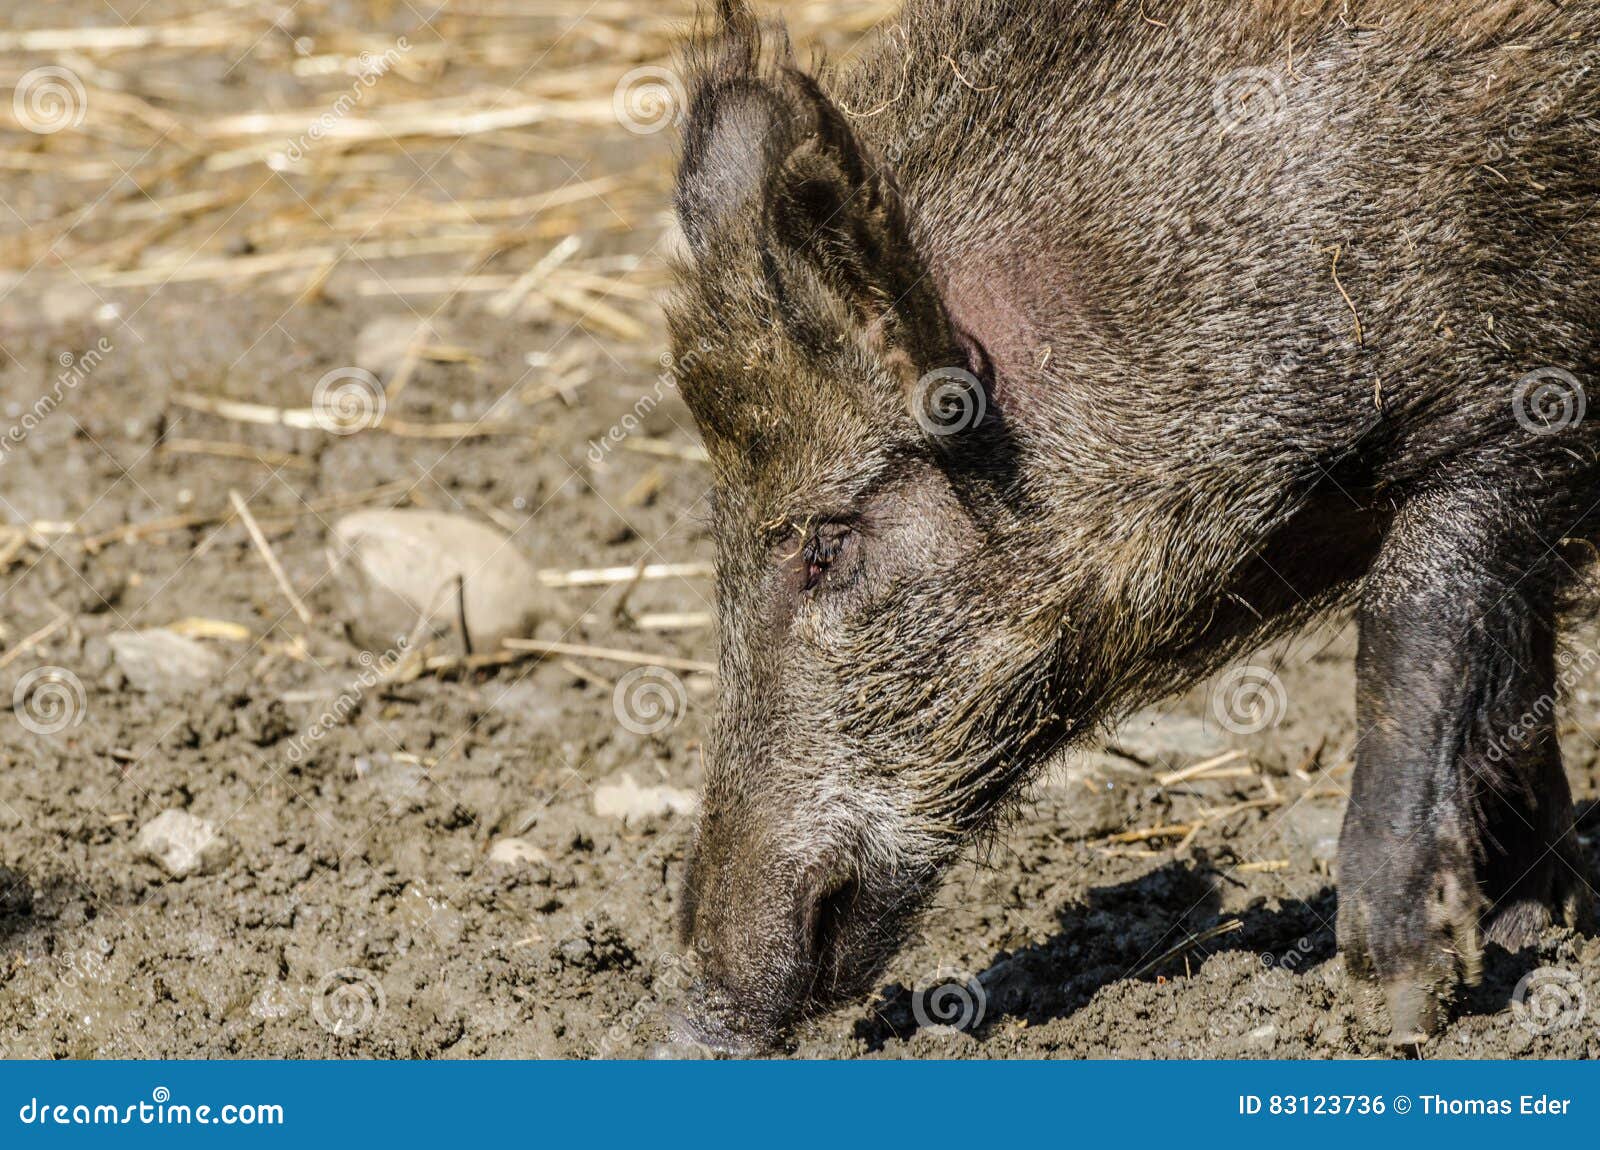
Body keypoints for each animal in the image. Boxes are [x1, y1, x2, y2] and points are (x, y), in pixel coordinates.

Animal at [666, 0, 1599, 1051]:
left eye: (827, 545)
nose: (695, 1022)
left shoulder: (1527, 403)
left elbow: (1416, 637)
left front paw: (1402, 1002)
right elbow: (1516, 684)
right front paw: (1535, 929)